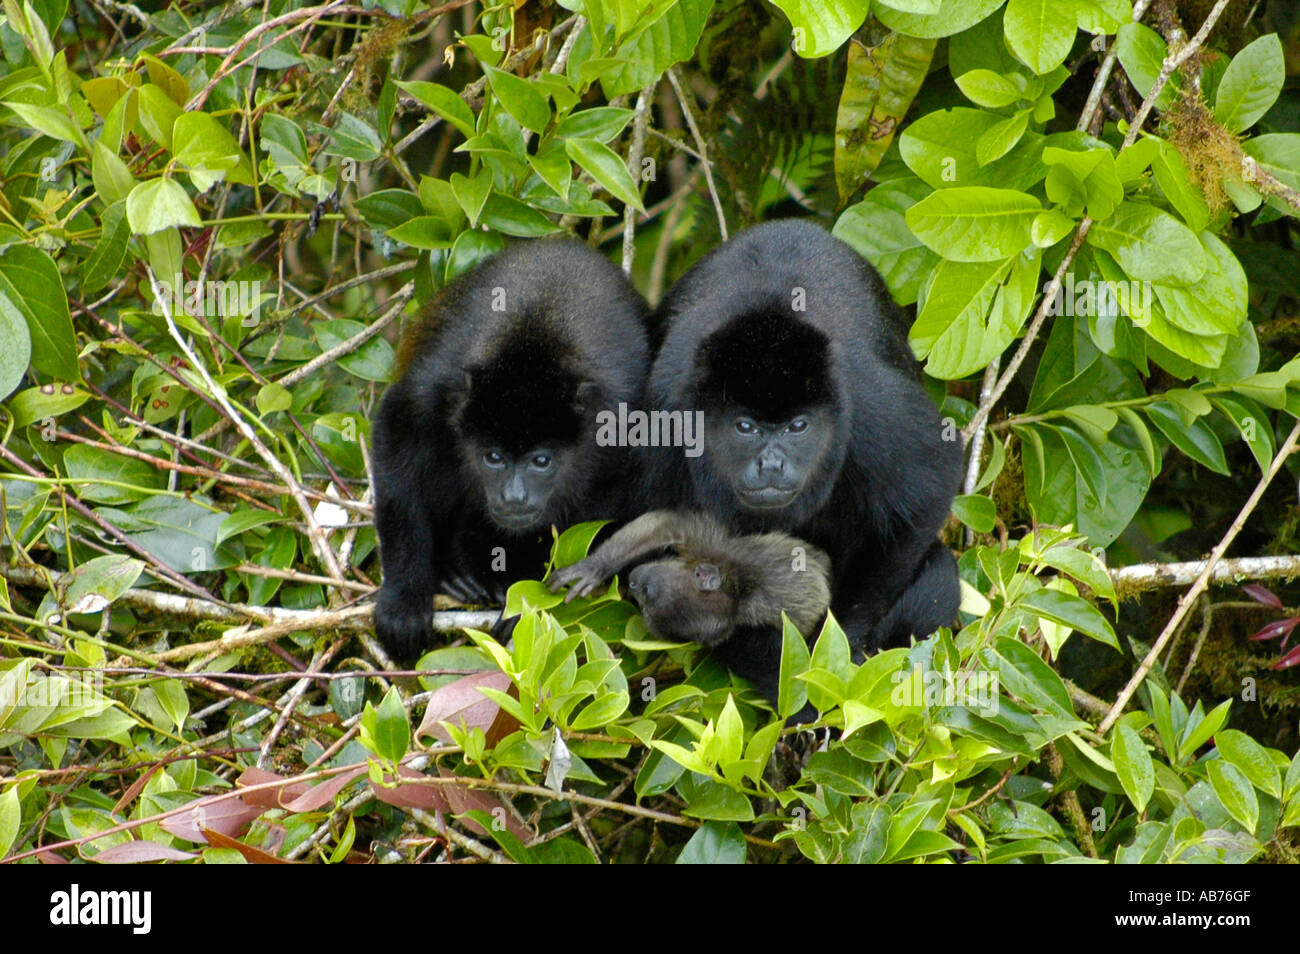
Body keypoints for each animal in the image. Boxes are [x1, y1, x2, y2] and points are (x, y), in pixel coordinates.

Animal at [371, 238, 650, 658]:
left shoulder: (619, 412)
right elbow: (396, 436)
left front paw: (526, 601)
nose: (514, 496)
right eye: (493, 457)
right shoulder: (439, 387)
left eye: (541, 461)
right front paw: (402, 600)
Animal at [547, 510, 832, 705]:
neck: (737, 593)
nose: (633, 582)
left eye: (646, 596)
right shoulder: (712, 550)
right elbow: (668, 525)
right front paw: (595, 566)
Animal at [640, 219, 962, 676]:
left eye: (797, 427)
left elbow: (927, 492)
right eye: (745, 427)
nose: (771, 464)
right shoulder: (664, 411)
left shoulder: (869, 407)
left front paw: (843, 641)